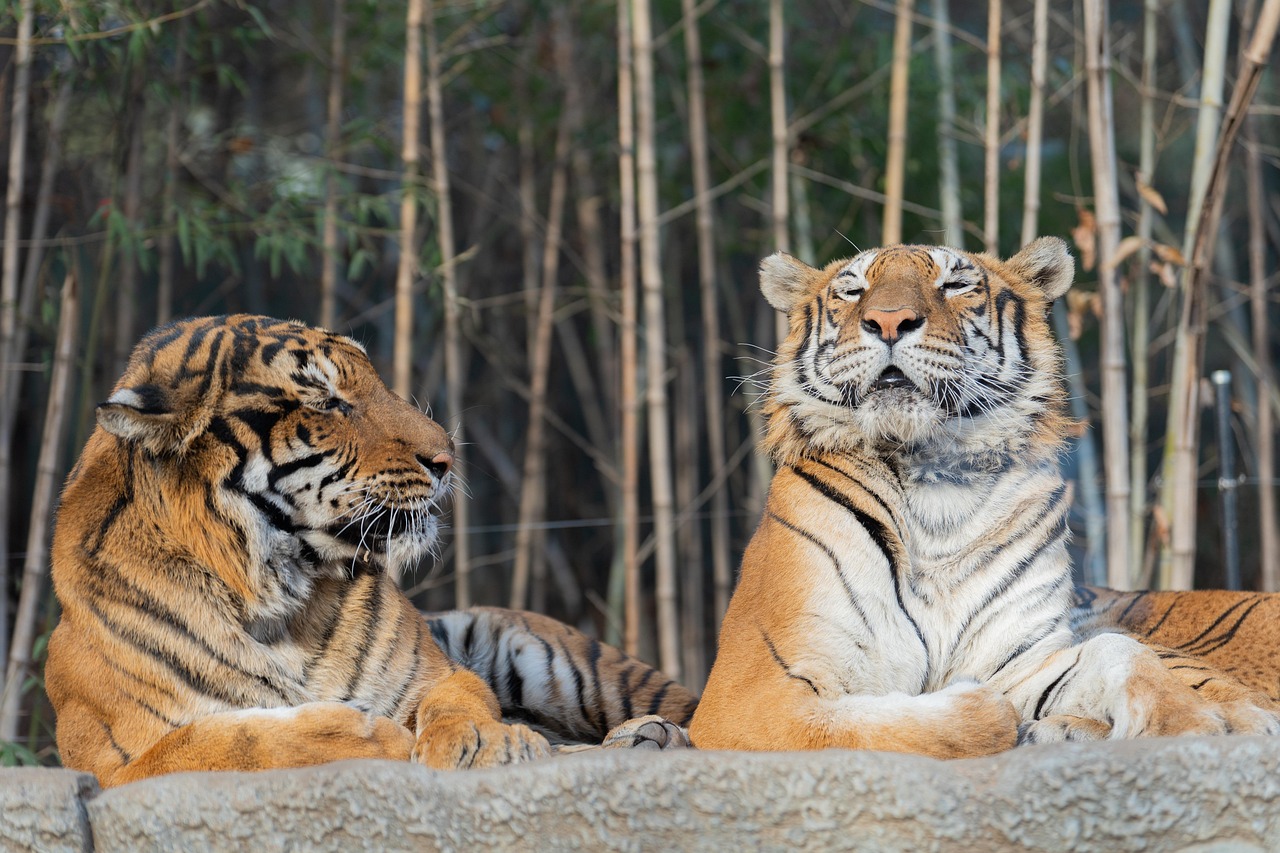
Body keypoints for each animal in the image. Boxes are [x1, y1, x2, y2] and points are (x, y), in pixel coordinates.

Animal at [45, 314, 694, 788]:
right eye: (327, 402)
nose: (447, 457)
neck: (277, 597)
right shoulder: (109, 762)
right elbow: (225, 741)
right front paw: (369, 735)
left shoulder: (436, 674)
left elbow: (460, 702)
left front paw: (483, 741)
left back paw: (651, 735)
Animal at [687, 238, 1280, 758]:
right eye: (853, 291)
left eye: (954, 285)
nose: (889, 321)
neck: (937, 483)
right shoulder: (748, 696)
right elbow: (943, 717)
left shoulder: (1020, 657)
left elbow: (1119, 655)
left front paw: (1192, 724)